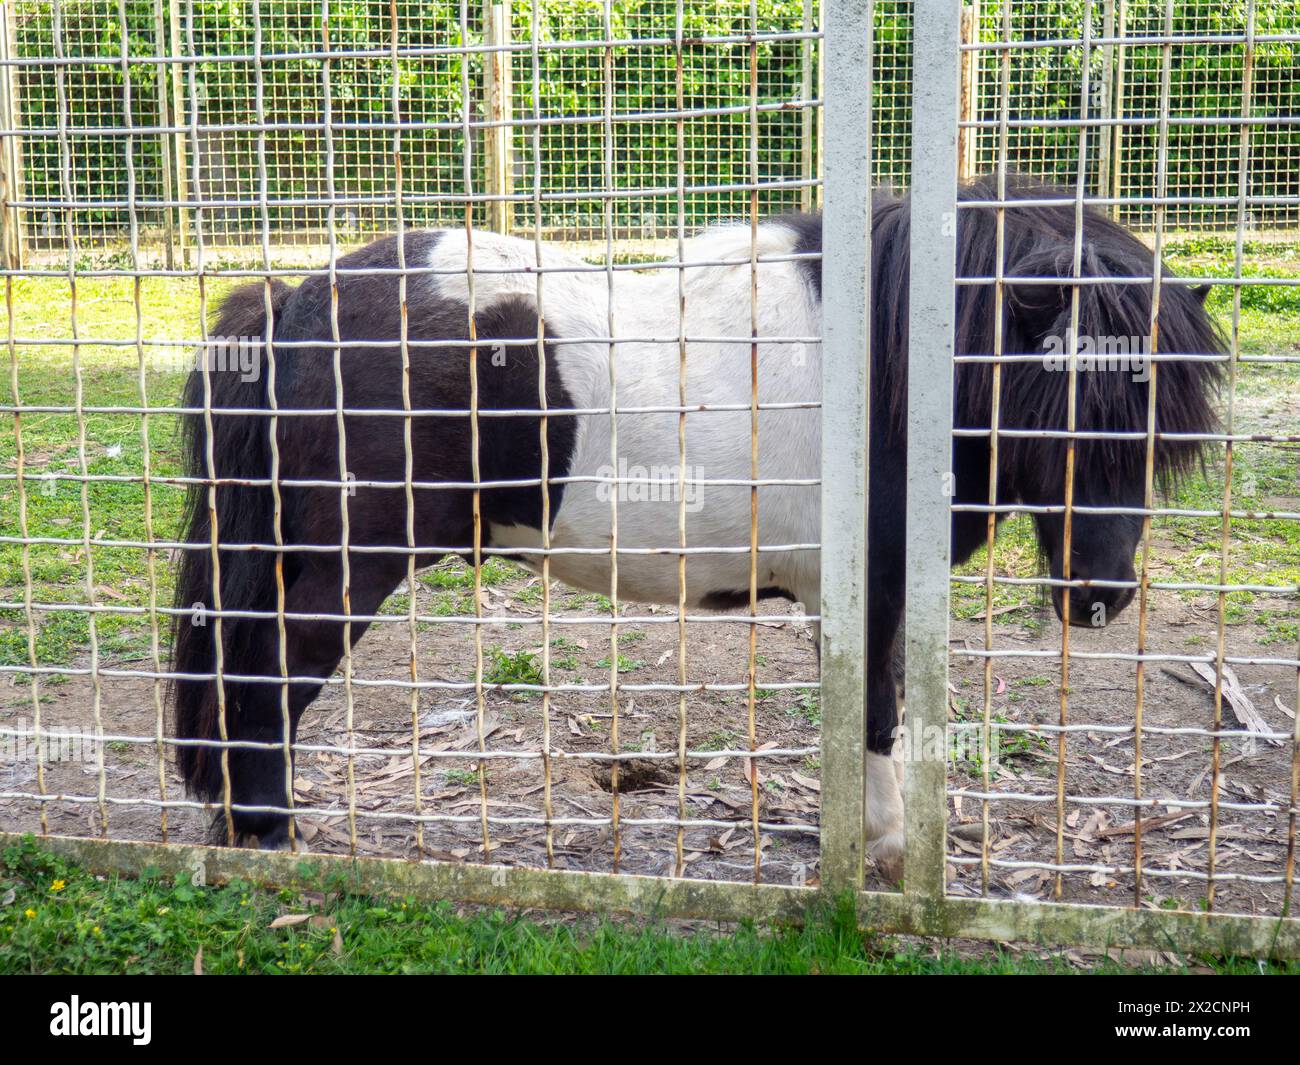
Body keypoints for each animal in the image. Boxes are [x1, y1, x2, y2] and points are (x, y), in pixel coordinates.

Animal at [170, 174, 1223, 869]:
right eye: (1056, 409)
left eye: (1158, 428)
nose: (1099, 596)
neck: (891, 367)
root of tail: (295, 305)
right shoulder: (866, 590)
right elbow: (878, 711)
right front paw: (883, 848)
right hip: (347, 566)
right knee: (266, 676)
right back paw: (268, 828)